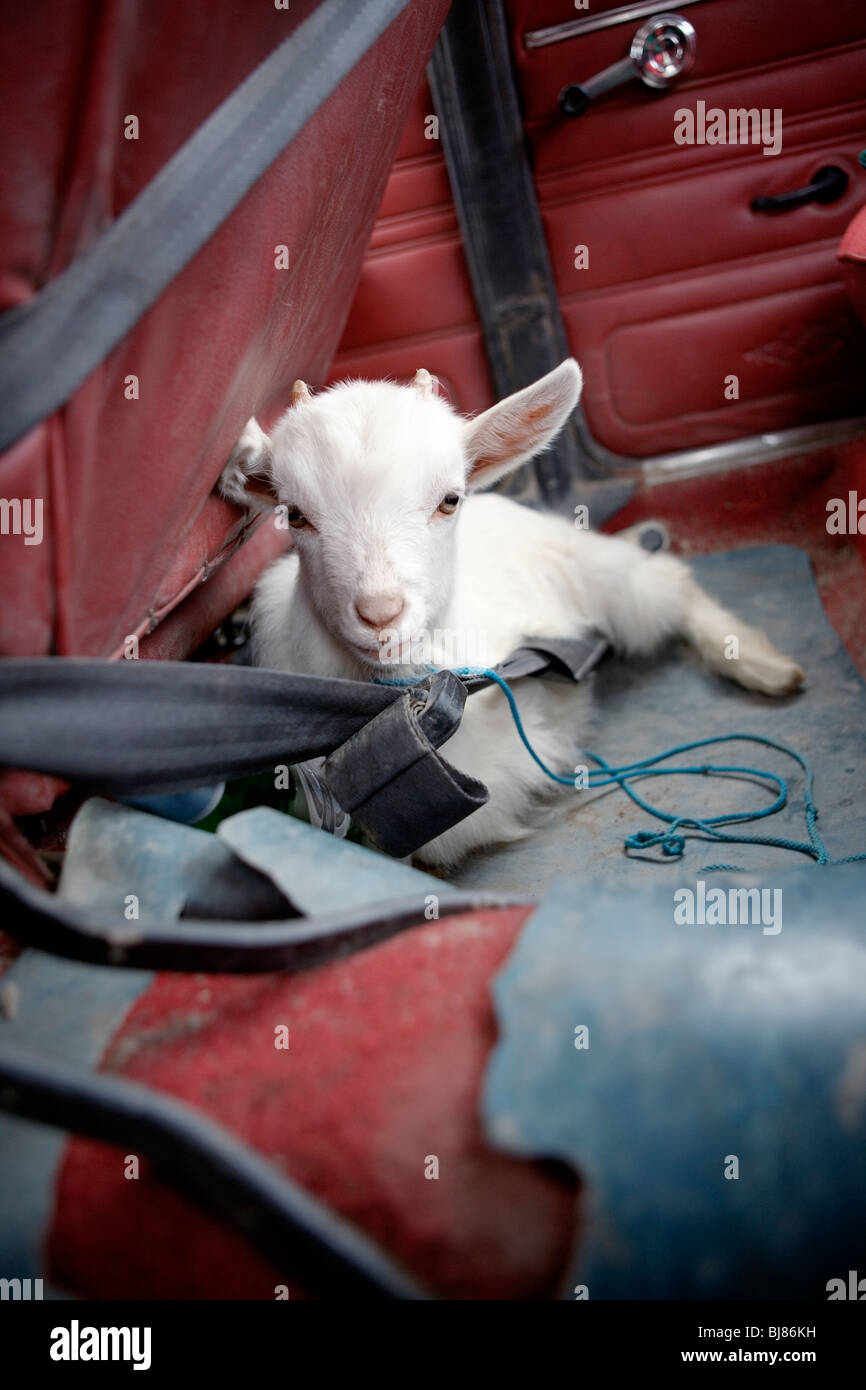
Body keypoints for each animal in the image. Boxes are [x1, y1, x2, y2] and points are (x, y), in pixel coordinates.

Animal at [220, 360, 803, 867]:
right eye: (294, 514)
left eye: (449, 499)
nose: (381, 613)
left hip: (598, 573)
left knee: (668, 587)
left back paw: (757, 662)